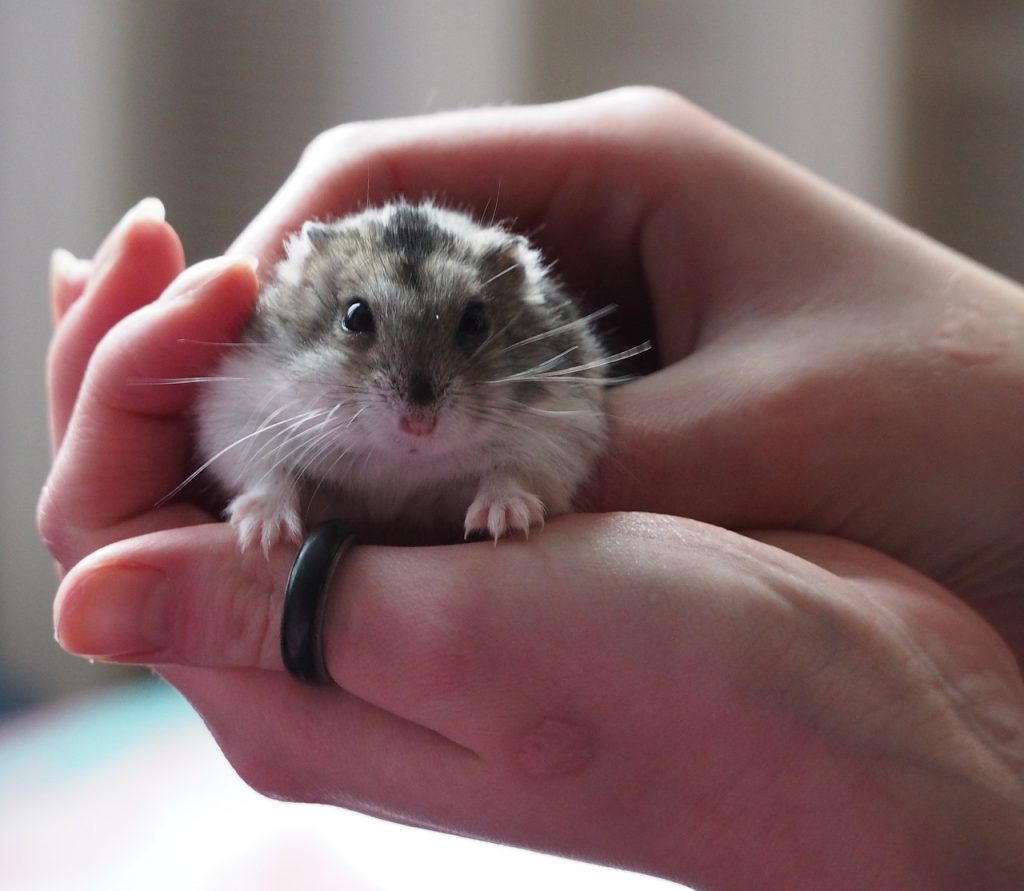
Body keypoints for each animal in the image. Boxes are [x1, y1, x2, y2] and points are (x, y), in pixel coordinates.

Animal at [195, 200, 613, 552]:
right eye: (355, 316)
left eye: (476, 322)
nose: (419, 426)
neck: (401, 463)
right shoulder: (238, 415)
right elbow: (269, 473)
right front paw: (265, 536)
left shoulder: (561, 433)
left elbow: (512, 471)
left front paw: (506, 520)